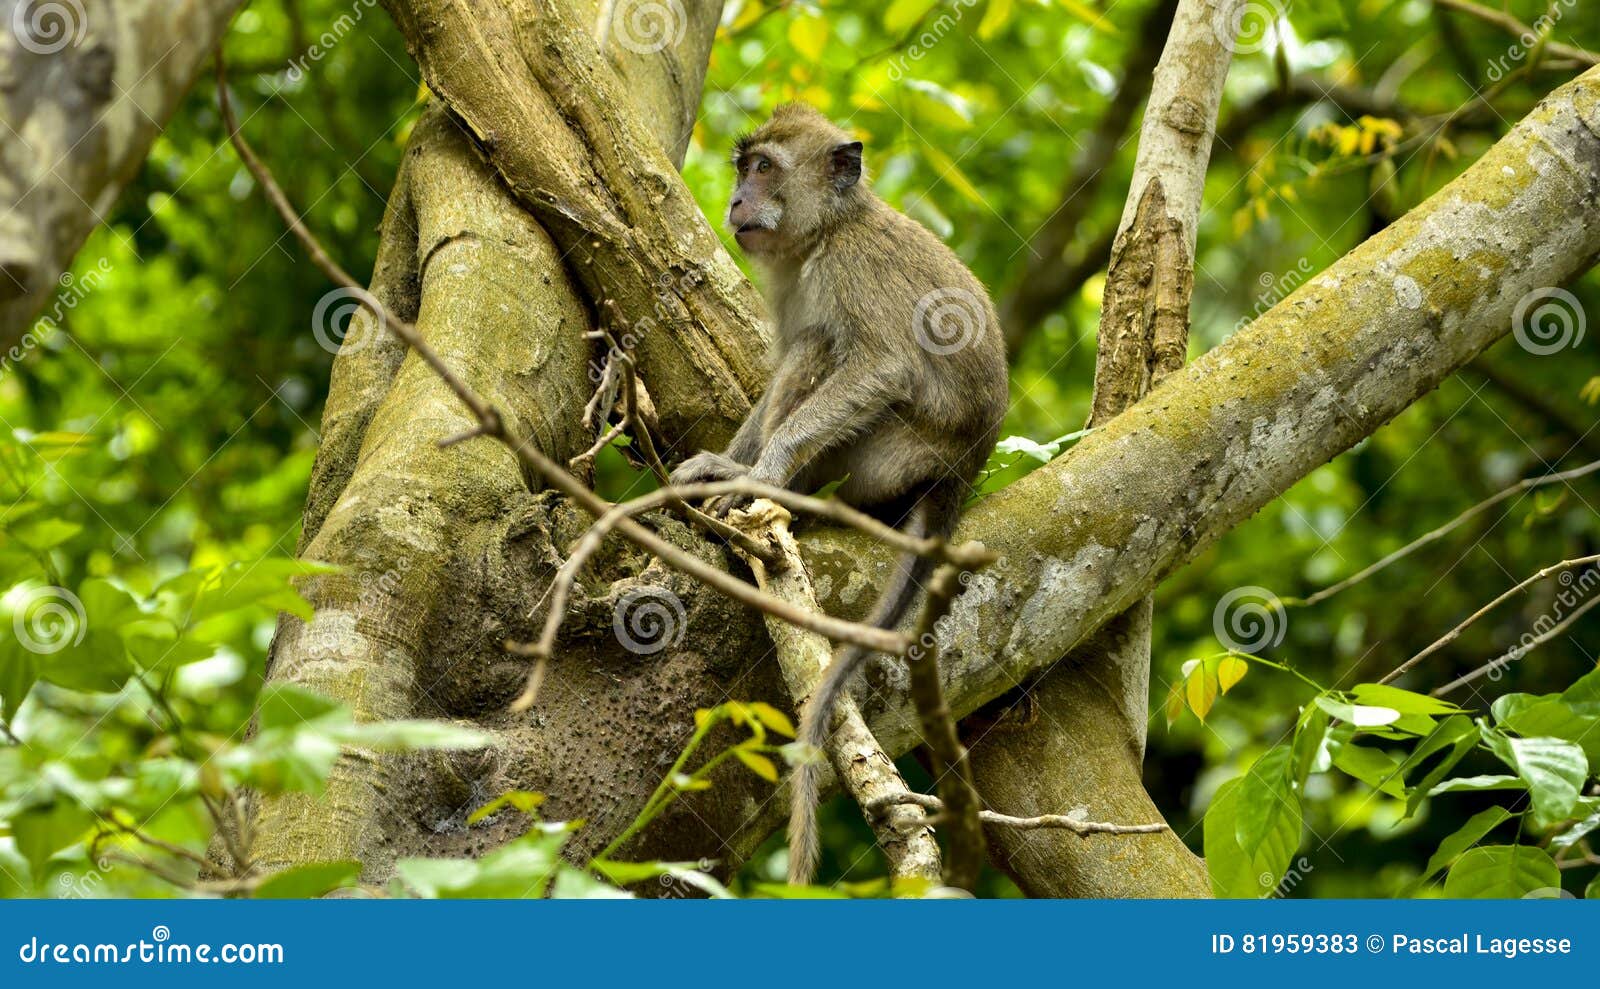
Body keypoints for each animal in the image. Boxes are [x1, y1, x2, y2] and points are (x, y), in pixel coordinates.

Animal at [667, 103, 1009, 885]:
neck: (825, 231)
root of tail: (960, 471)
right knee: (809, 347)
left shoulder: (848, 271)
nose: (737, 200)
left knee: (826, 349)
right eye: (744, 167)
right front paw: (724, 464)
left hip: (891, 453)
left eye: (764, 168)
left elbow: (880, 364)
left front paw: (760, 475)